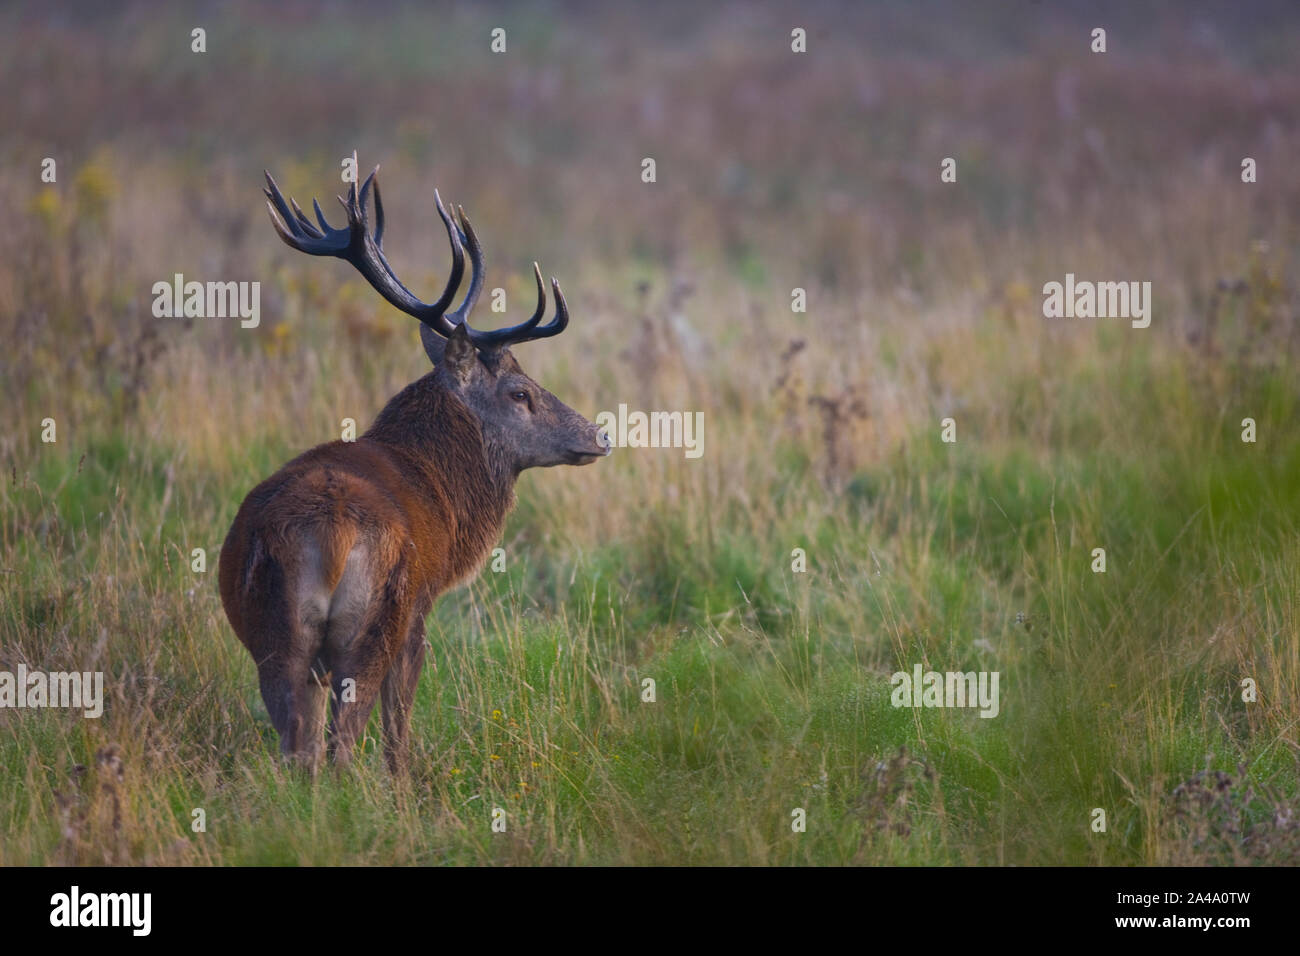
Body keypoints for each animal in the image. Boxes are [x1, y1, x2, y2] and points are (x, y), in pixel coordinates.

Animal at [218, 156, 611, 775]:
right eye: (521, 392)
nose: (599, 435)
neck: (444, 494)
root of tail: (332, 530)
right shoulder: (423, 604)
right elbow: (398, 724)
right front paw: (404, 783)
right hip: (378, 620)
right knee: (343, 739)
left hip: (273, 632)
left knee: (299, 744)